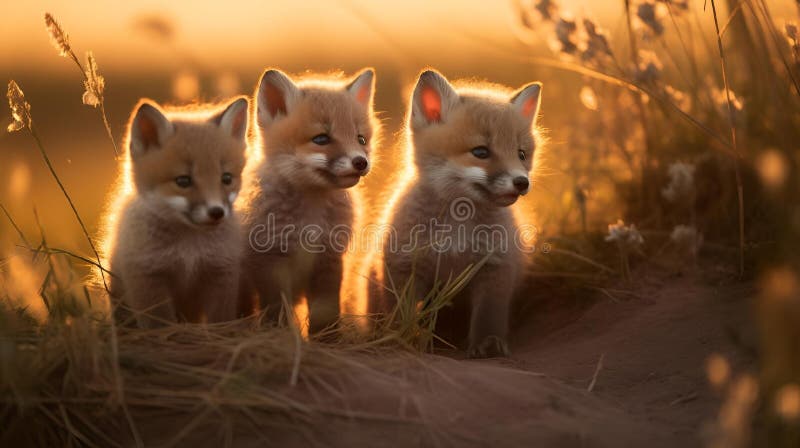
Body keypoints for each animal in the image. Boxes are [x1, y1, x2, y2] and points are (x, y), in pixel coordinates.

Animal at [102, 97, 249, 328]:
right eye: (183, 181)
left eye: (226, 178)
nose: (217, 212)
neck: (189, 251)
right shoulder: (148, 277)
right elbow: (160, 324)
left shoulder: (221, 273)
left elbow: (220, 320)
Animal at [238, 68, 377, 334]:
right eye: (321, 139)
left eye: (361, 139)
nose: (361, 162)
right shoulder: (271, 263)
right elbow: (277, 311)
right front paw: (280, 336)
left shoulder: (329, 261)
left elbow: (326, 314)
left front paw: (327, 340)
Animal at [368, 69, 542, 358]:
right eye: (480, 152)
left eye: (521, 154)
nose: (521, 182)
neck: (456, 228)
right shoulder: (405, 266)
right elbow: (400, 315)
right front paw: (400, 340)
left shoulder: (495, 267)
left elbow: (489, 316)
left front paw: (488, 344)